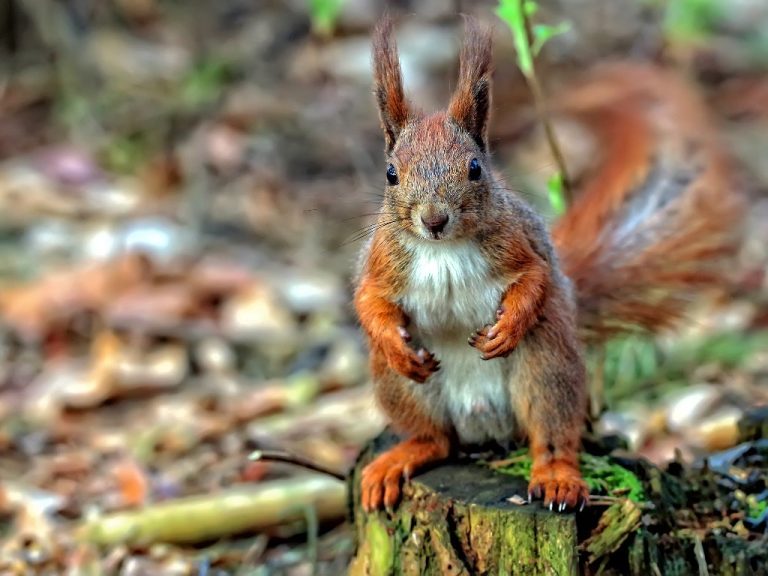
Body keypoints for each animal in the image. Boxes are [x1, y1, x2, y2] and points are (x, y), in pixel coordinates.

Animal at [354, 17, 744, 512]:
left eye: (475, 168)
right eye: (391, 174)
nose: (434, 219)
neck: (443, 250)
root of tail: (483, 426)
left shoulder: (518, 246)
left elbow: (535, 279)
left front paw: (506, 328)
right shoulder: (382, 263)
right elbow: (367, 298)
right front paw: (392, 341)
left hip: (547, 365)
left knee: (551, 432)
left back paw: (557, 476)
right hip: (402, 389)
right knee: (436, 440)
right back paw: (400, 457)